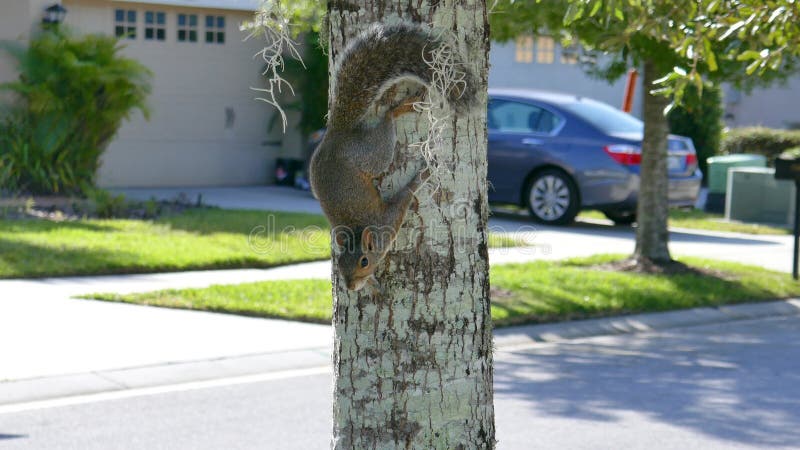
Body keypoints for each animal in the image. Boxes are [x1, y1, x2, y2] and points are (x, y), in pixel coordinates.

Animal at [309, 22, 476, 291]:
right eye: (339, 264)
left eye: (364, 261)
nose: (351, 287)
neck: (357, 231)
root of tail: (337, 132)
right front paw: (373, 286)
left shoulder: (387, 222)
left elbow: (405, 194)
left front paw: (422, 175)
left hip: (375, 152)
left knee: (387, 118)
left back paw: (402, 107)